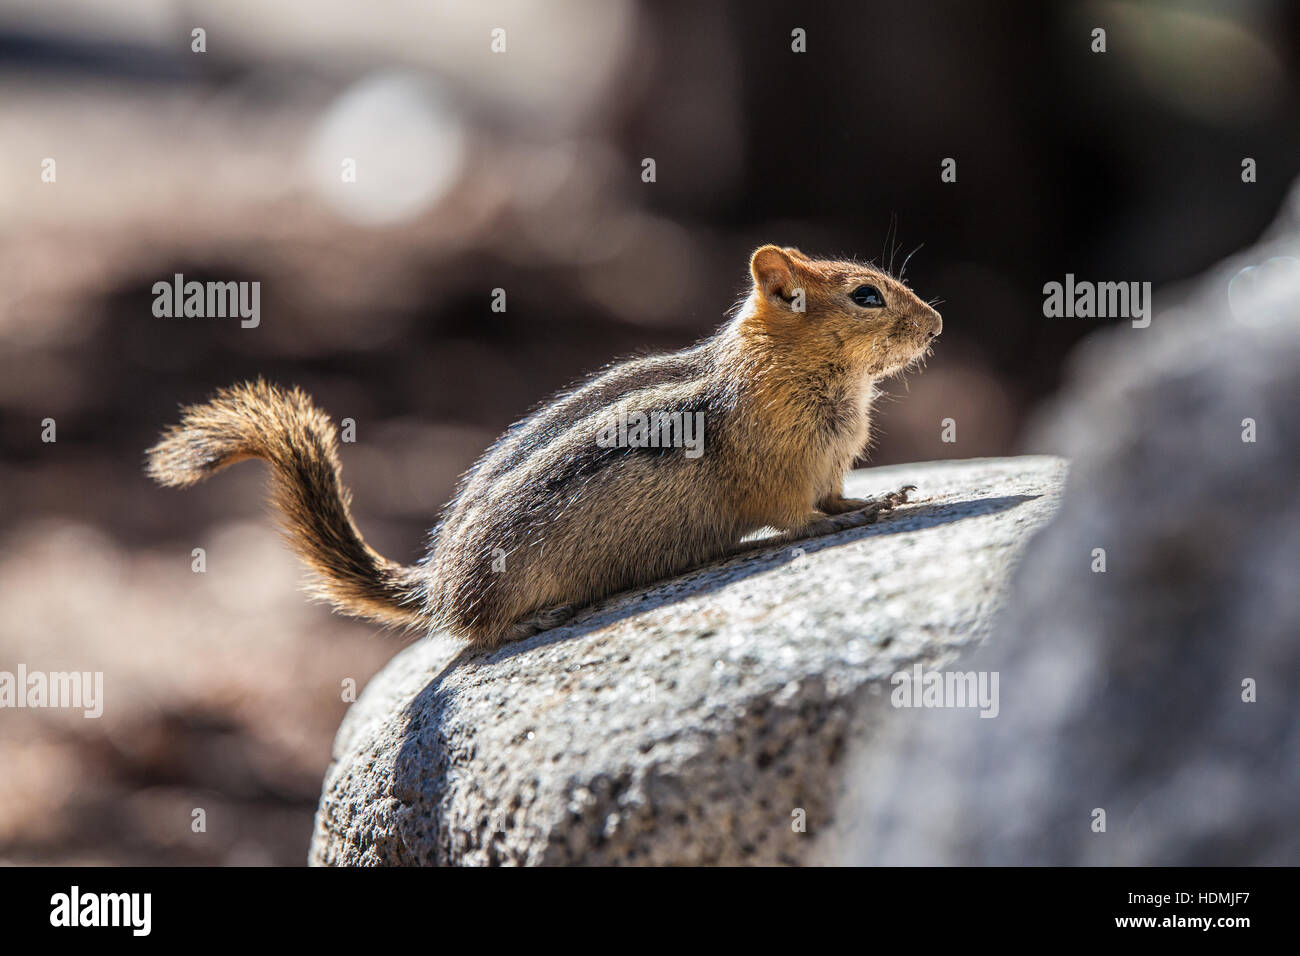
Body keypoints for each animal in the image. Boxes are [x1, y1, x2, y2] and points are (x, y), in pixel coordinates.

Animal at [146, 245, 941, 647]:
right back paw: (532, 617)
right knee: (475, 636)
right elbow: (800, 518)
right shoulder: (779, 472)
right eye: (867, 295)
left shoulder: (827, 466)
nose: (936, 324)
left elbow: (838, 495)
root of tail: (436, 586)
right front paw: (851, 521)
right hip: (495, 590)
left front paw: (881, 496)